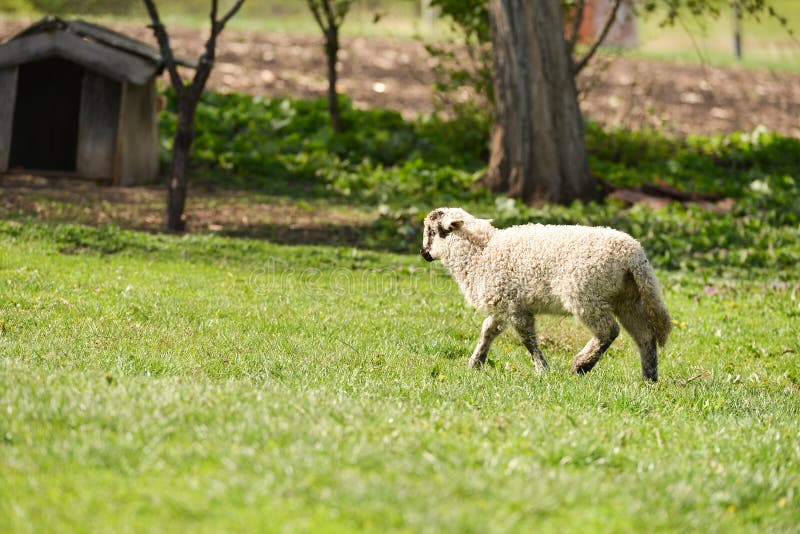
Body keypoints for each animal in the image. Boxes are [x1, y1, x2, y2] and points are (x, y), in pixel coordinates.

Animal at [420, 207, 672, 381]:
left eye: (432, 232)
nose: (423, 253)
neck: (481, 253)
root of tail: (634, 255)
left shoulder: (514, 306)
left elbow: (527, 338)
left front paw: (542, 368)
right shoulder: (503, 303)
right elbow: (488, 331)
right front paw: (476, 363)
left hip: (586, 294)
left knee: (608, 331)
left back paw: (581, 365)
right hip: (627, 298)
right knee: (645, 335)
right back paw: (649, 378)